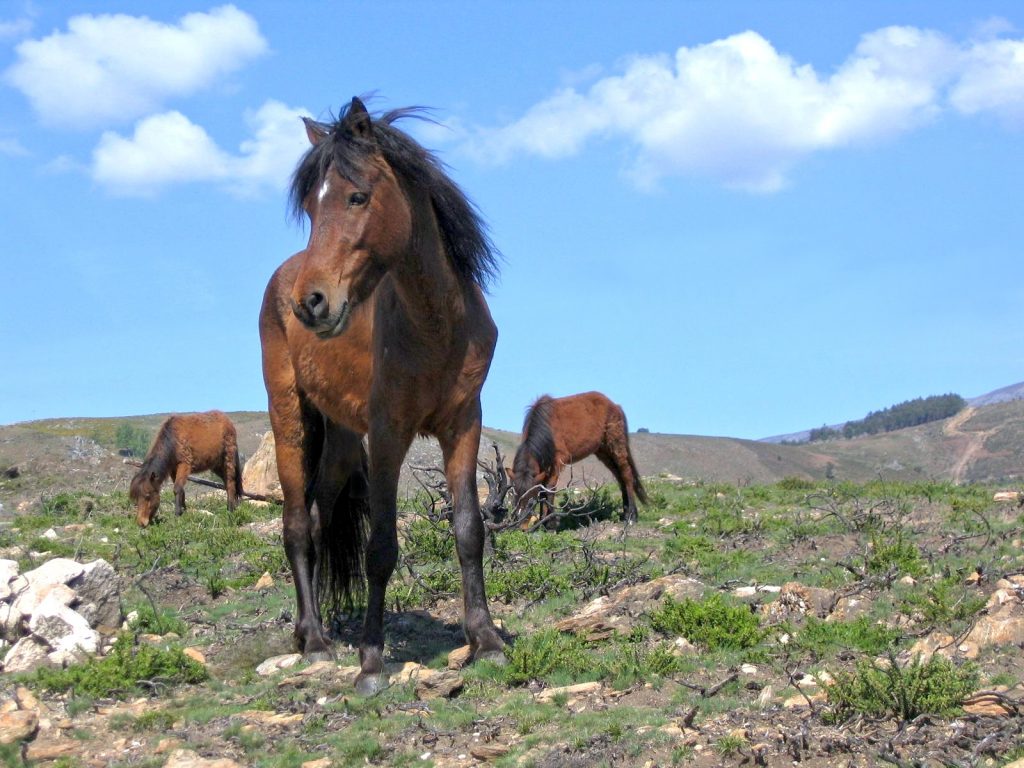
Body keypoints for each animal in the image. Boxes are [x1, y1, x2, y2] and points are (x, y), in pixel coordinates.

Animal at [259, 97, 504, 694]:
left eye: (357, 196)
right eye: (309, 205)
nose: (311, 303)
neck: (435, 326)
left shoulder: (464, 423)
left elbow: (469, 530)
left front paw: (485, 641)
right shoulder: (390, 433)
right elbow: (380, 547)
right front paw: (371, 662)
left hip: (344, 440)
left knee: (318, 520)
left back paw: (312, 629)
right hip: (290, 420)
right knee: (295, 525)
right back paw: (316, 641)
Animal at [512, 392, 647, 525]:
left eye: (530, 499)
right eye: (515, 496)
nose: (520, 524)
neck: (546, 426)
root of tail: (615, 406)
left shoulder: (557, 462)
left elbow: (550, 488)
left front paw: (549, 523)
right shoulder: (544, 466)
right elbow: (542, 490)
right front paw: (542, 521)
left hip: (616, 446)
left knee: (626, 475)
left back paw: (632, 516)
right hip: (604, 453)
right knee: (620, 478)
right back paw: (626, 513)